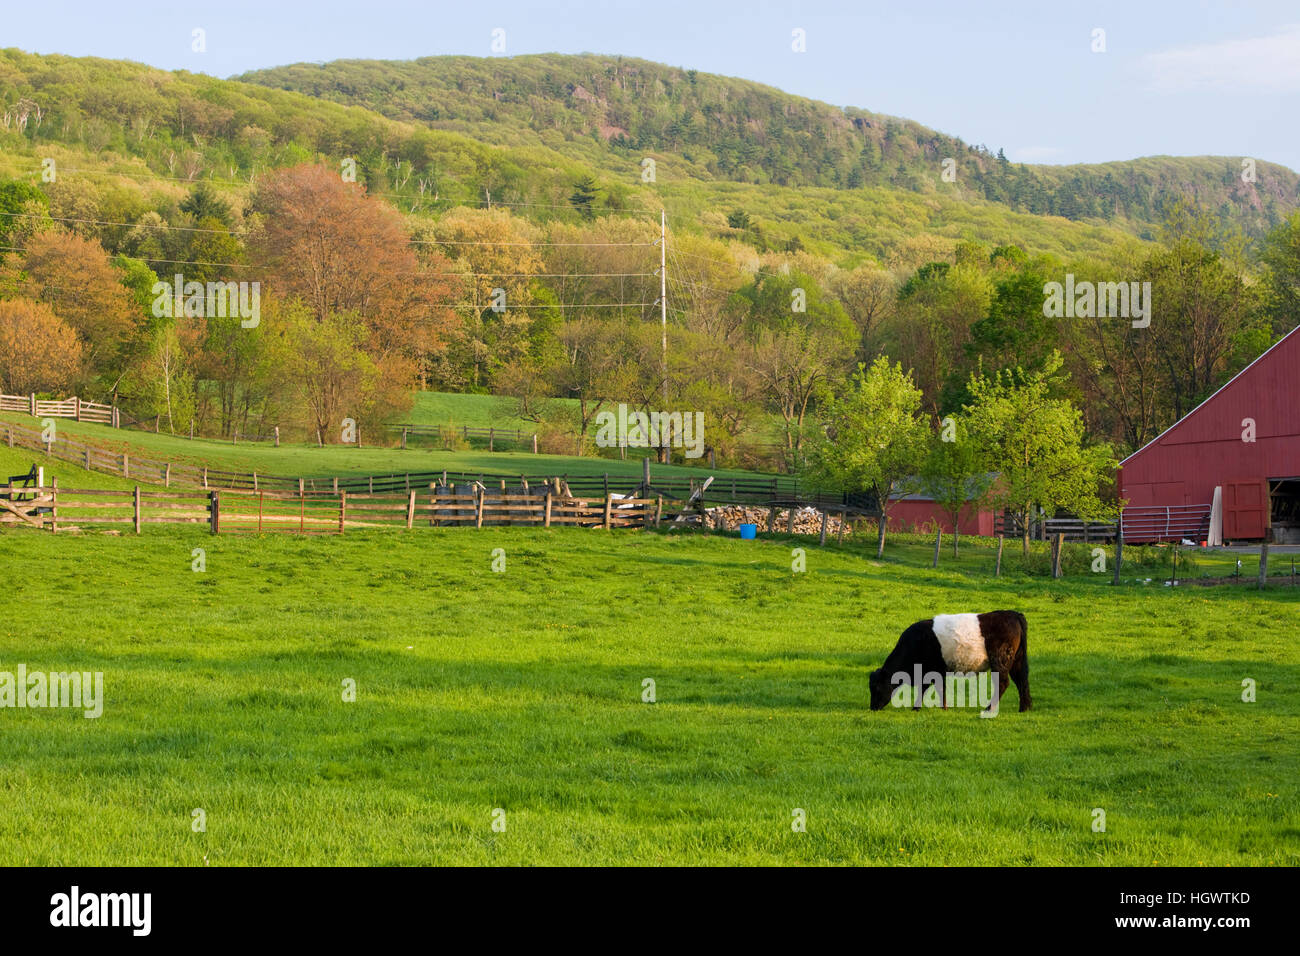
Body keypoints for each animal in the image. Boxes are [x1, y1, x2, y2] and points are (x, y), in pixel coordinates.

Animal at [868, 611, 1031, 714]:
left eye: (876, 687)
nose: (872, 708)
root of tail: (1013, 614)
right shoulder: (934, 671)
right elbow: (934, 688)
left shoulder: (932, 670)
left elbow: (934, 688)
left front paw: (925, 708)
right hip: (1016, 661)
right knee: (1021, 681)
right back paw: (1024, 709)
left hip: (999, 659)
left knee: (1003, 683)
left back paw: (988, 708)